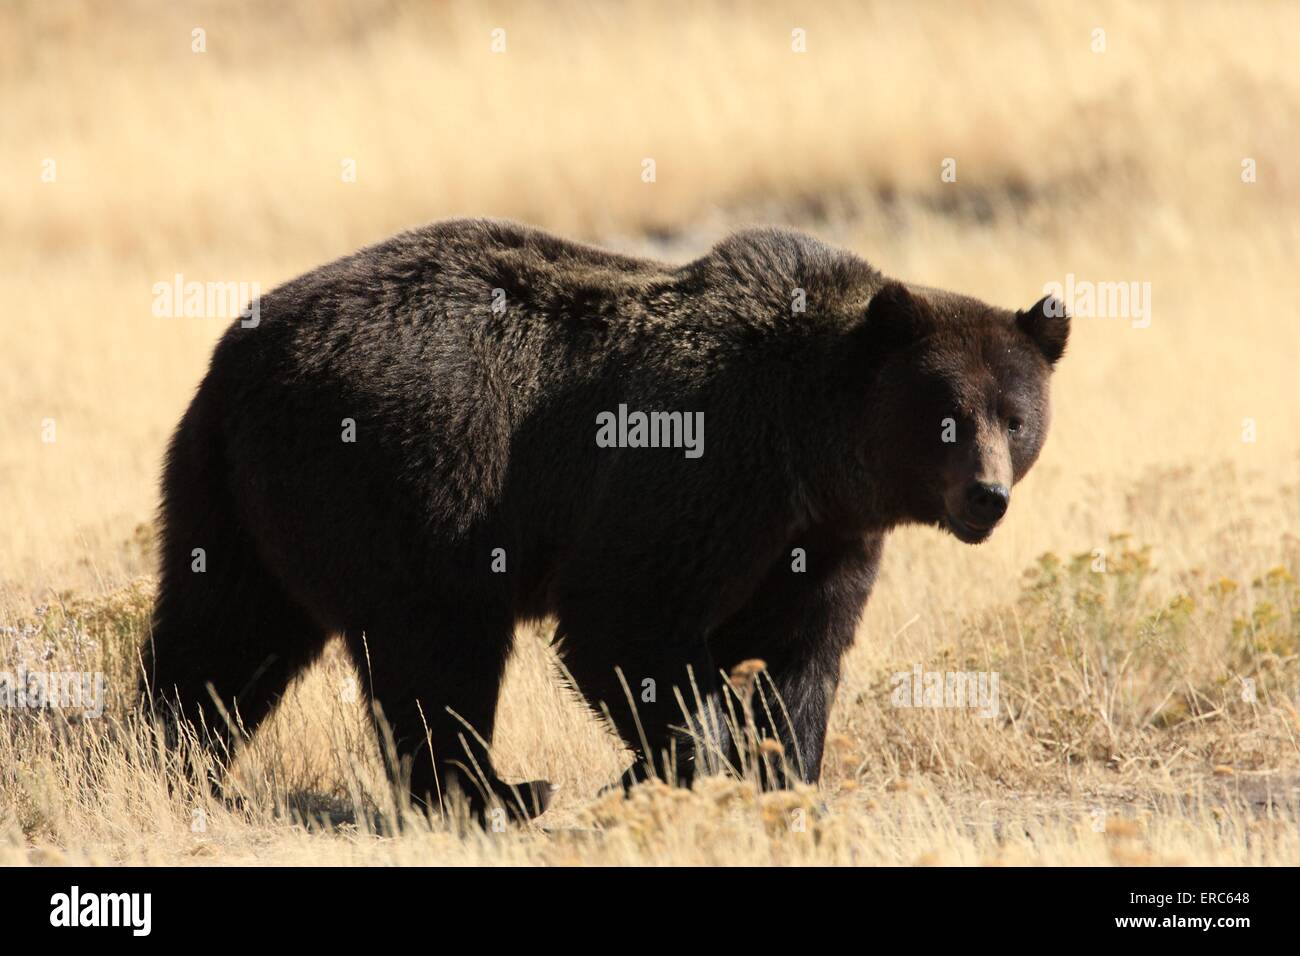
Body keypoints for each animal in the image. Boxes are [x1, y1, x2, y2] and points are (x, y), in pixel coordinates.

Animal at [141, 218, 1068, 822]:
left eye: (1015, 416)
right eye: (946, 416)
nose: (986, 495)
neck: (810, 446)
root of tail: (238, 349)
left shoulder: (819, 537)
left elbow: (797, 656)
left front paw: (782, 775)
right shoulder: (699, 470)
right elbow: (628, 620)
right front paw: (682, 768)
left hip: (236, 493)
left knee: (222, 632)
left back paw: (167, 761)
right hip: (400, 472)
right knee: (434, 646)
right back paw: (497, 793)